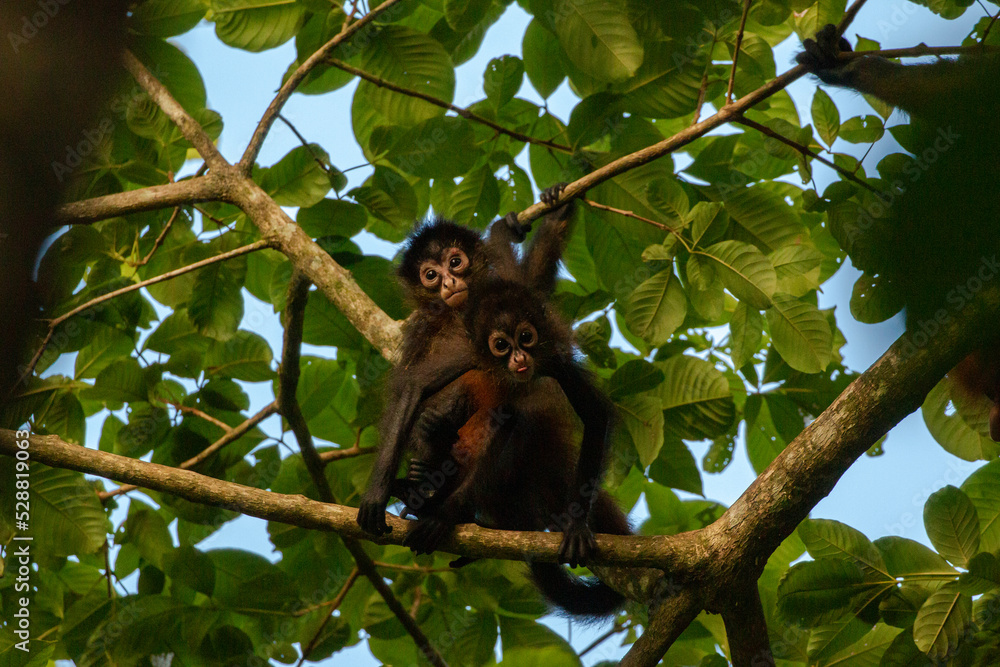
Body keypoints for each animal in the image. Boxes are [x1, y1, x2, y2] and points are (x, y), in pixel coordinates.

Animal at [357, 185, 579, 536]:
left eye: (455, 262)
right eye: (431, 275)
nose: (448, 282)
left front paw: (555, 211)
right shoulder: (423, 328)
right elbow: (407, 389)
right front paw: (379, 491)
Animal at [397, 278, 631, 617]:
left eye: (526, 337)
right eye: (501, 345)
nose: (519, 358)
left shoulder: (554, 358)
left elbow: (595, 415)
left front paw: (576, 525)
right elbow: (416, 388)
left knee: (517, 421)